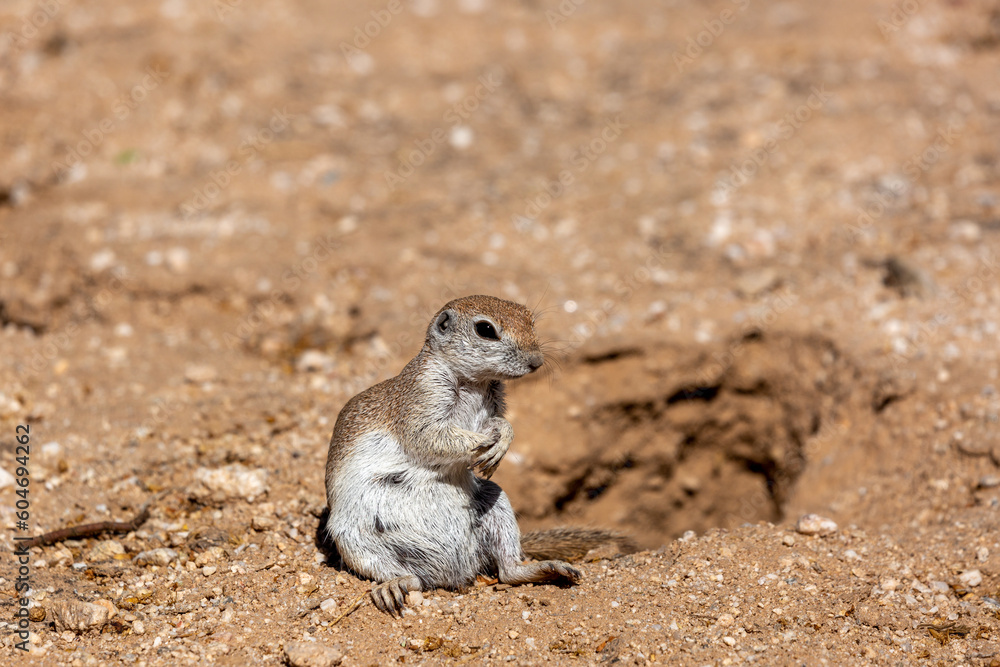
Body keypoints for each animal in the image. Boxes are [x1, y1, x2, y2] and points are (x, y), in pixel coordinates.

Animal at [324, 295, 632, 614]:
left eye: (530, 319)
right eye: (485, 329)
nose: (537, 361)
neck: (476, 383)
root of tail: (456, 574)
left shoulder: (494, 403)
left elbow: (499, 423)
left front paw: (503, 440)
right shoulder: (422, 396)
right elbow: (432, 436)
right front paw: (484, 444)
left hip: (496, 504)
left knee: (507, 571)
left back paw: (546, 568)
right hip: (354, 539)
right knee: (408, 578)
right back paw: (395, 585)